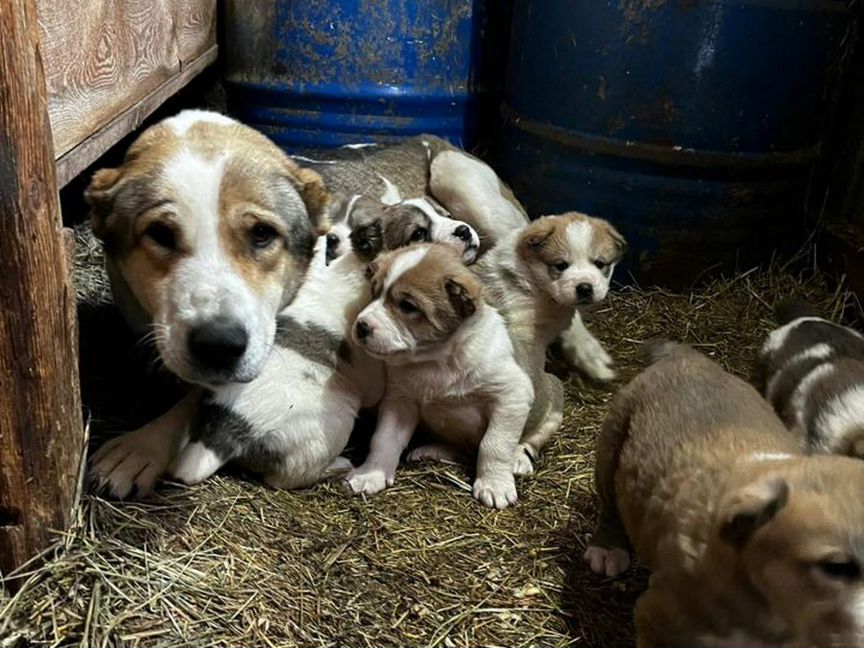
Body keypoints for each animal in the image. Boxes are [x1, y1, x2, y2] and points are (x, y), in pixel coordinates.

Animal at [344, 240, 560, 508]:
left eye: (407, 306)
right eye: (374, 293)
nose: (361, 326)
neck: (438, 360)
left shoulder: (512, 396)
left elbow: (494, 445)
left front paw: (495, 485)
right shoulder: (399, 401)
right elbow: (383, 439)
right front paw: (371, 473)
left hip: (553, 402)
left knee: (528, 440)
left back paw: (518, 459)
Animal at [584, 342, 864, 644]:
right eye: (836, 567)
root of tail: (690, 358)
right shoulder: (655, 617)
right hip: (612, 439)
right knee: (609, 504)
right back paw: (607, 549)